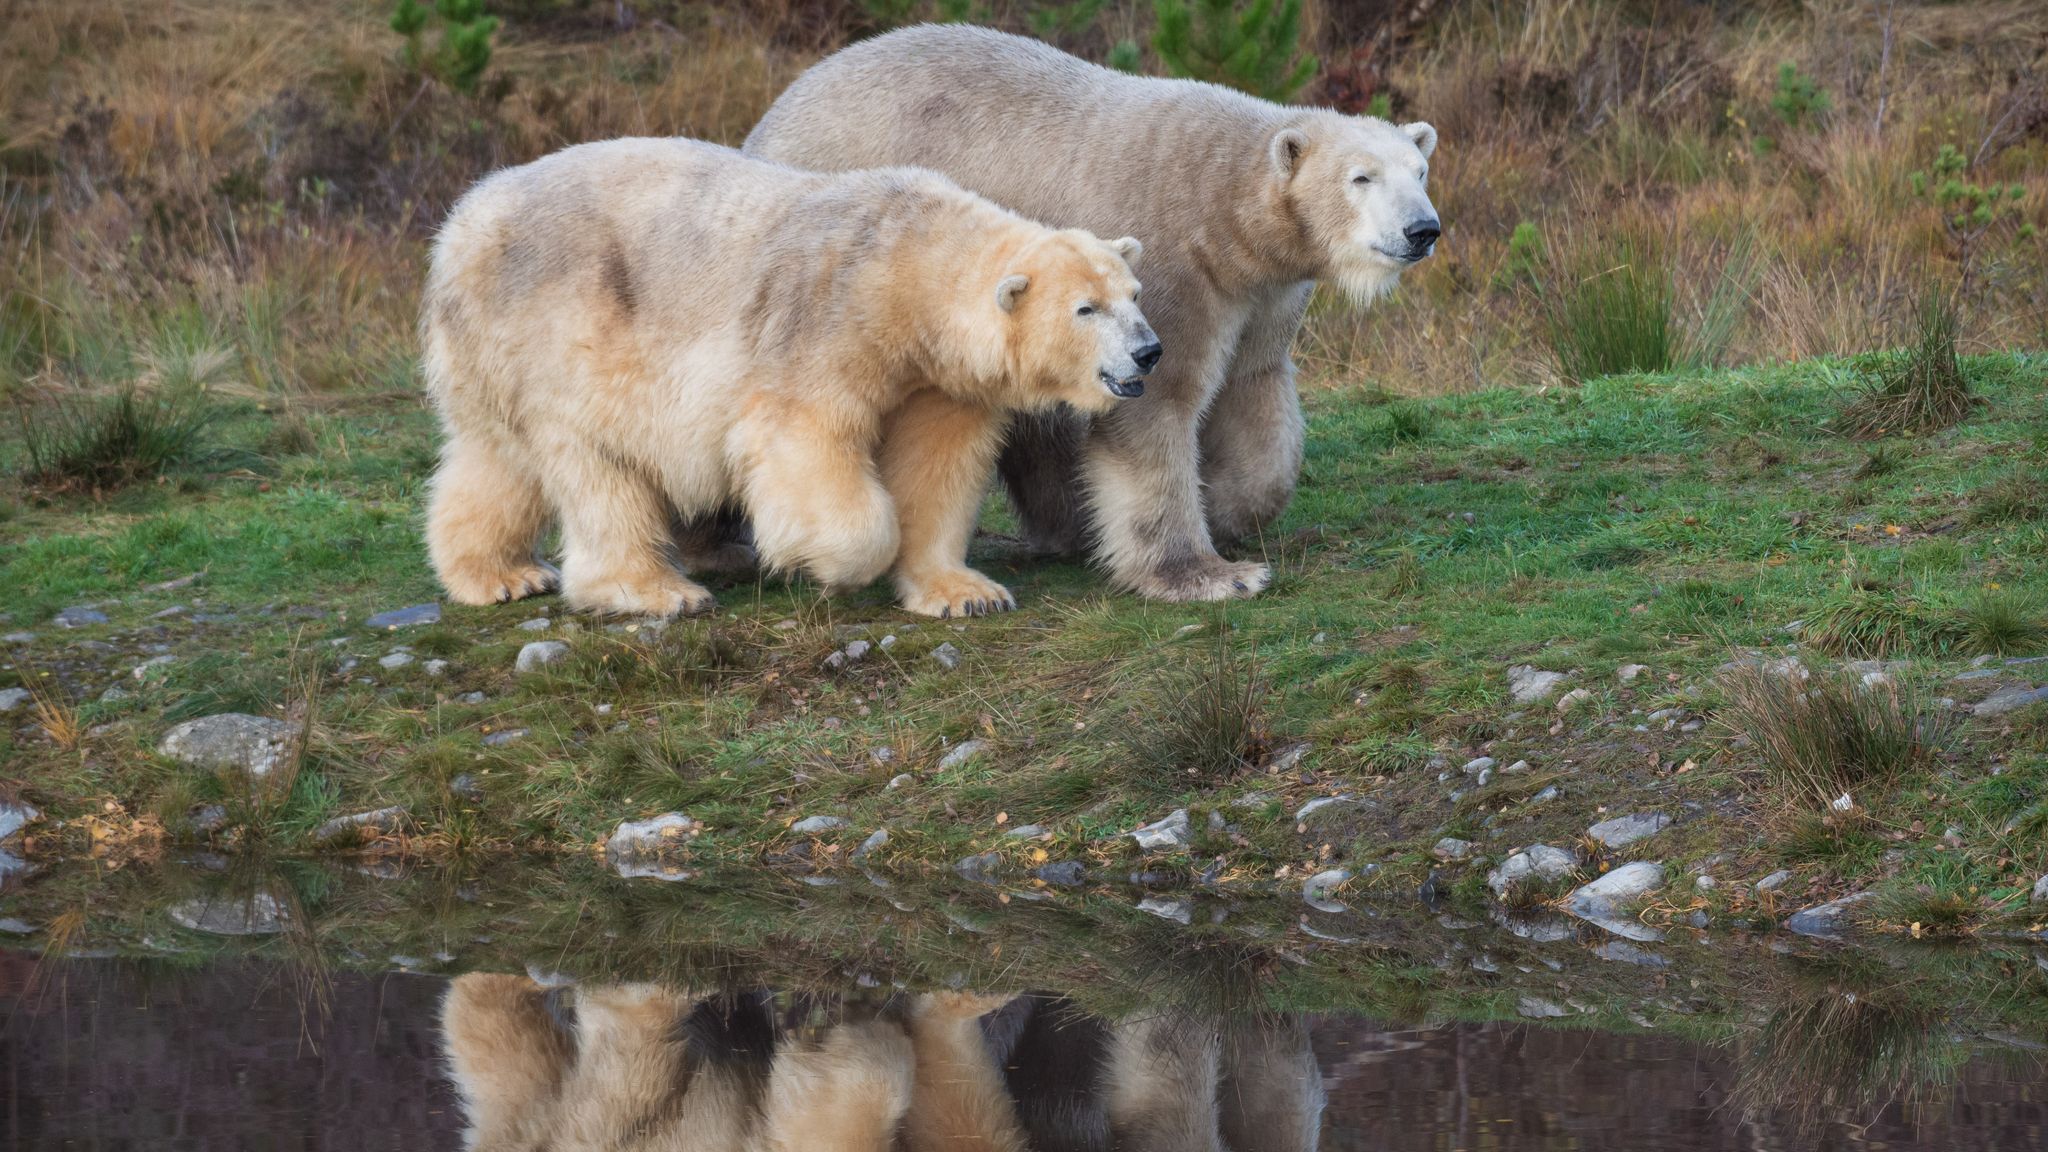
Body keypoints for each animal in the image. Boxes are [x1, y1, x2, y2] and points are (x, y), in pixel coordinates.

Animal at [421, 136, 1157, 619]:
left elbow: (937, 464)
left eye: (1134, 293)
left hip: (490, 358)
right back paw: (657, 590)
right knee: (597, 461)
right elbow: (803, 444)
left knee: (495, 459)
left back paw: (500, 574)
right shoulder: (826, 327)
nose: (1148, 352)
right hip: (564, 334)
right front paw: (828, 563)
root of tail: (459, 231)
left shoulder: (938, 381)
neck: (903, 264)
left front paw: (965, 593)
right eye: (1086, 309)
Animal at [745, 24, 1439, 602]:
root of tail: (773, 113)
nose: (1423, 229)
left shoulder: (1262, 295)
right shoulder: (1167, 269)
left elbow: (1254, 390)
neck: (1224, 210)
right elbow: (1154, 406)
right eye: (1362, 177)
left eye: (1421, 169)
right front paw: (1209, 575)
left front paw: (1229, 509)